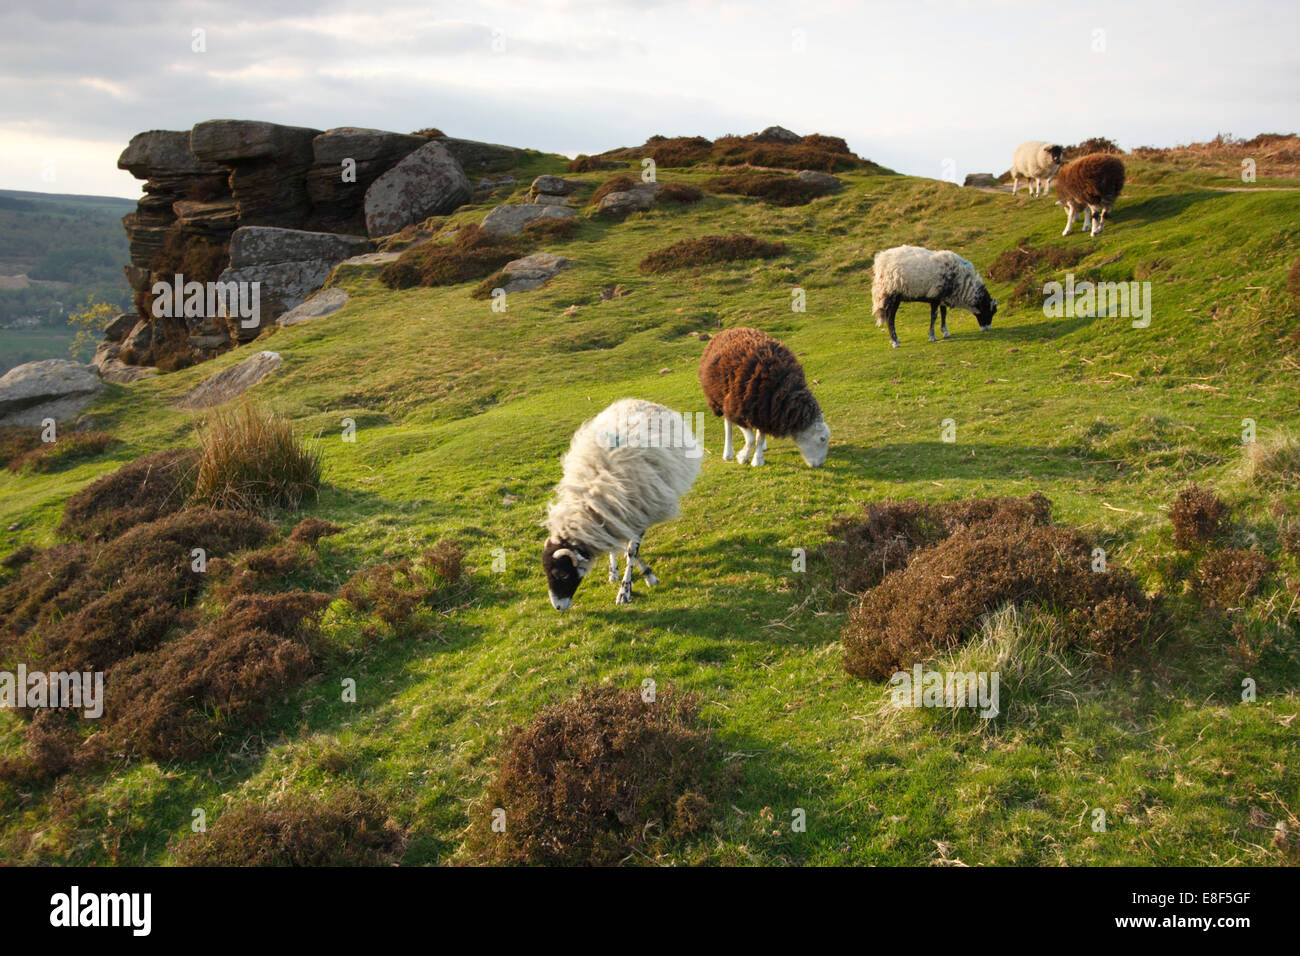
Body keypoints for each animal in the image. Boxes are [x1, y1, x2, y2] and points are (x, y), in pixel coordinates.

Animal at [543, 397, 701, 608]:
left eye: (561, 573)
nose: (558, 607)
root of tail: (638, 400)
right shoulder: (618, 516)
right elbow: (623, 548)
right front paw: (637, 575)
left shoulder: (639, 513)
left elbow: (631, 552)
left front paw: (628, 589)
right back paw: (613, 571)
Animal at [698, 326, 830, 468]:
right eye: (822, 439)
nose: (819, 465)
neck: (782, 389)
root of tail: (731, 329)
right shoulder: (738, 410)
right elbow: (750, 440)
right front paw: (743, 457)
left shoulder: (766, 411)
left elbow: (759, 439)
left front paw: (757, 459)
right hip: (720, 398)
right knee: (728, 424)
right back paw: (728, 453)